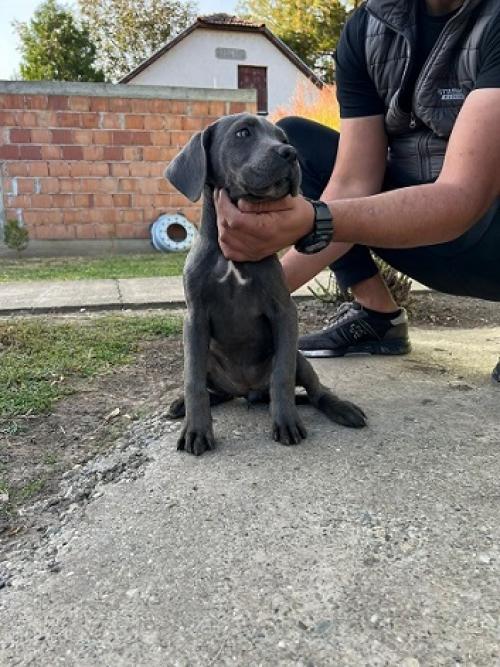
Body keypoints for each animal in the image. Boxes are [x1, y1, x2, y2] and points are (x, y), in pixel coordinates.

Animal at [166, 115, 366, 456]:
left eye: (283, 138)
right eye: (243, 133)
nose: (291, 154)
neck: (230, 258)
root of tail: (248, 392)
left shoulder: (283, 313)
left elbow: (282, 377)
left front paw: (286, 422)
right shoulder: (194, 320)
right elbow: (192, 380)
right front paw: (196, 429)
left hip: (300, 358)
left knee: (315, 391)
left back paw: (341, 408)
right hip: (210, 359)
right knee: (215, 390)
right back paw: (182, 404)